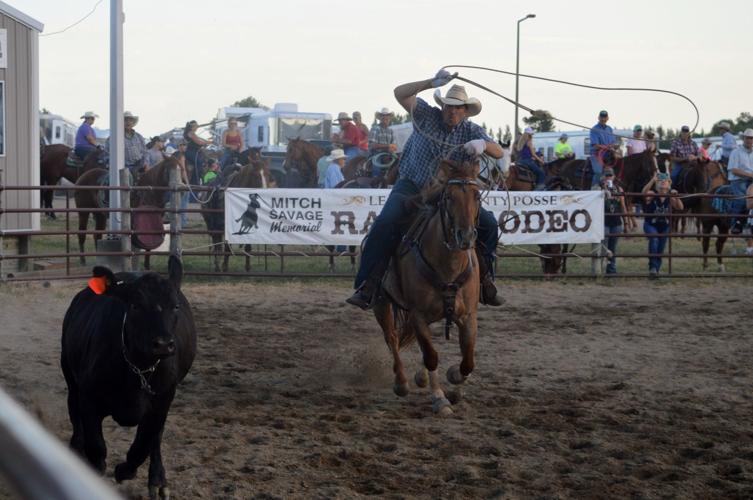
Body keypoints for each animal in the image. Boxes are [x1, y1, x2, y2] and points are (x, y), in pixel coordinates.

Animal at [373, 159, 481, 416]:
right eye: (449, 197)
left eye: (477, 195)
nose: (465, 236)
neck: (449, 265)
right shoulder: (418, 315)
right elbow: (431, 355)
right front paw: (440, 398)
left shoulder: (469, 315)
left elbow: (468, 359)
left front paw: (454, 380)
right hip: (381, 303)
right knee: (392, 338)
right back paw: (402, 382)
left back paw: (421, 377)